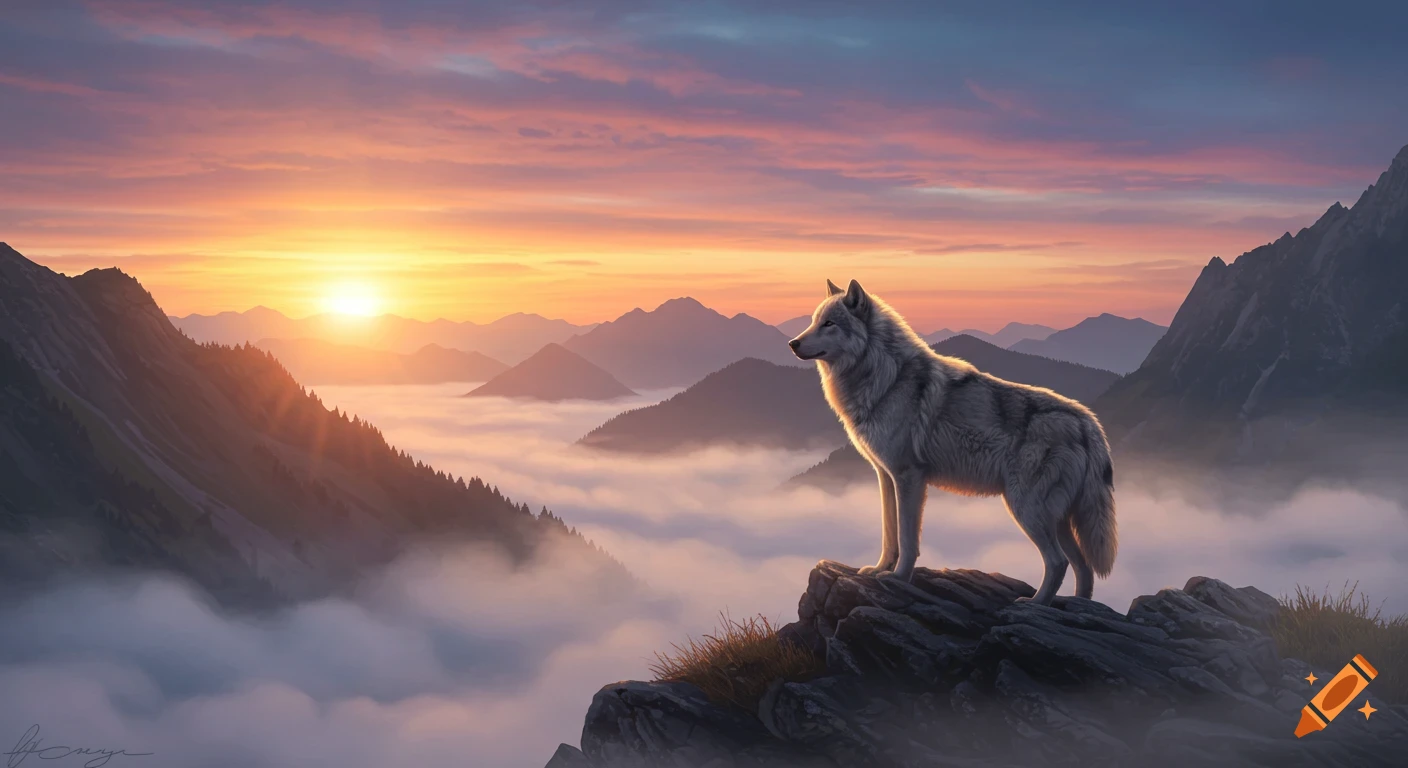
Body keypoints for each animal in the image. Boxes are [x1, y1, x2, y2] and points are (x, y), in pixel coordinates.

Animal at [788, 279, 1117, 605]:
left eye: (829, 323)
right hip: (1057, 519)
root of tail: (1088, 421)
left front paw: (898, 578)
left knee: (1059, 562)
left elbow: (907, 538)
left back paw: (1034, 604)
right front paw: (879, 569)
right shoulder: (885, 476)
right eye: (813, 321)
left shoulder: (909, 477)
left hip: (1027, 509)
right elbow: (889, 533)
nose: (793, 343)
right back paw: (1077, 606)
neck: (885, 377)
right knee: (1083, 568)